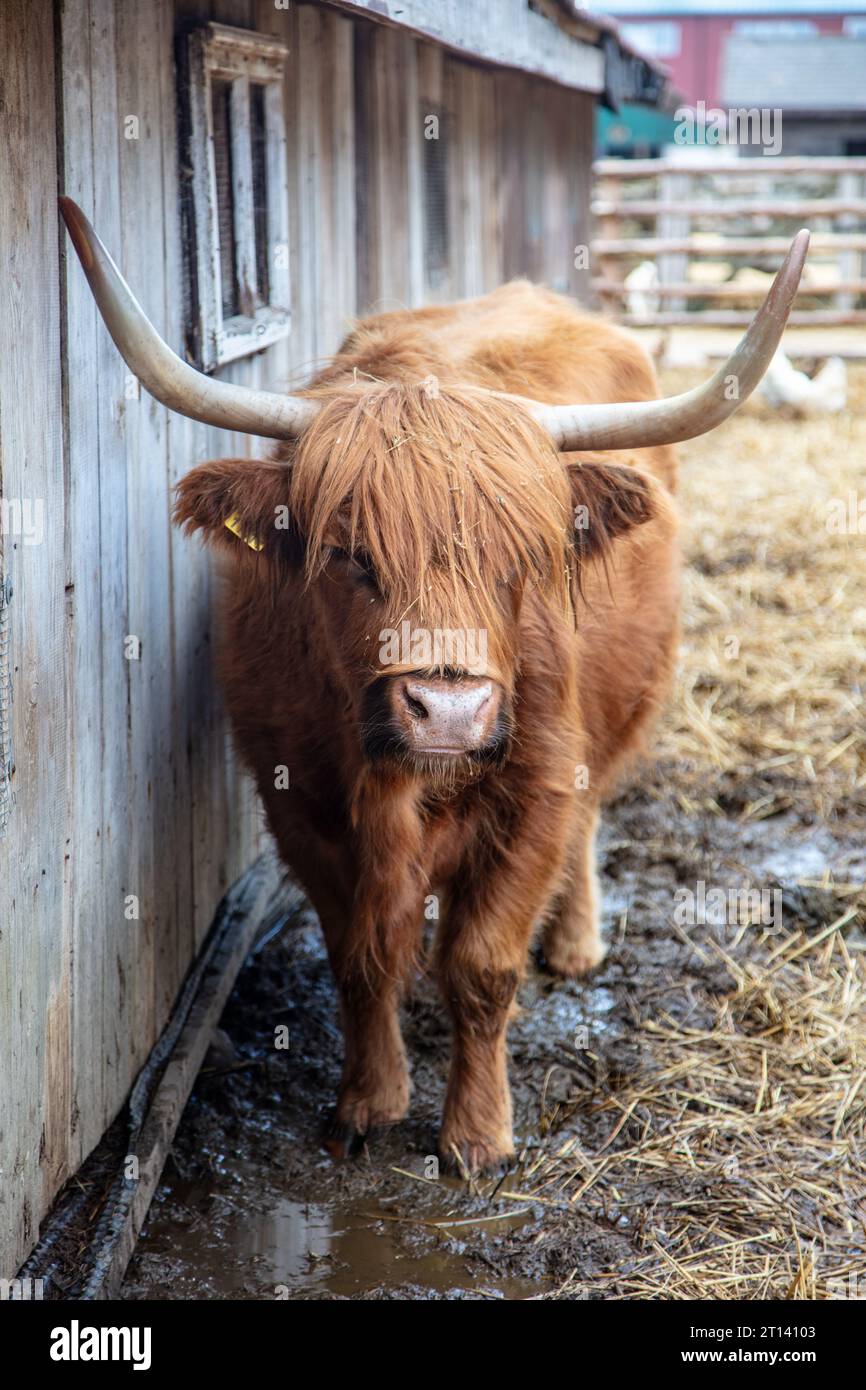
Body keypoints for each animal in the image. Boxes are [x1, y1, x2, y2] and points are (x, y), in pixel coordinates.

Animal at [60, 199, 808, 1173]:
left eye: (521, 558)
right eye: (350, 555)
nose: (450, 712)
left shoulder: (535, 790)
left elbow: (482, 965)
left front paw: (479, 1135)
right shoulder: (296, 802)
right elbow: (359, 957)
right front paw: (369, 1100)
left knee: (591, 812)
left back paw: (576, 942)